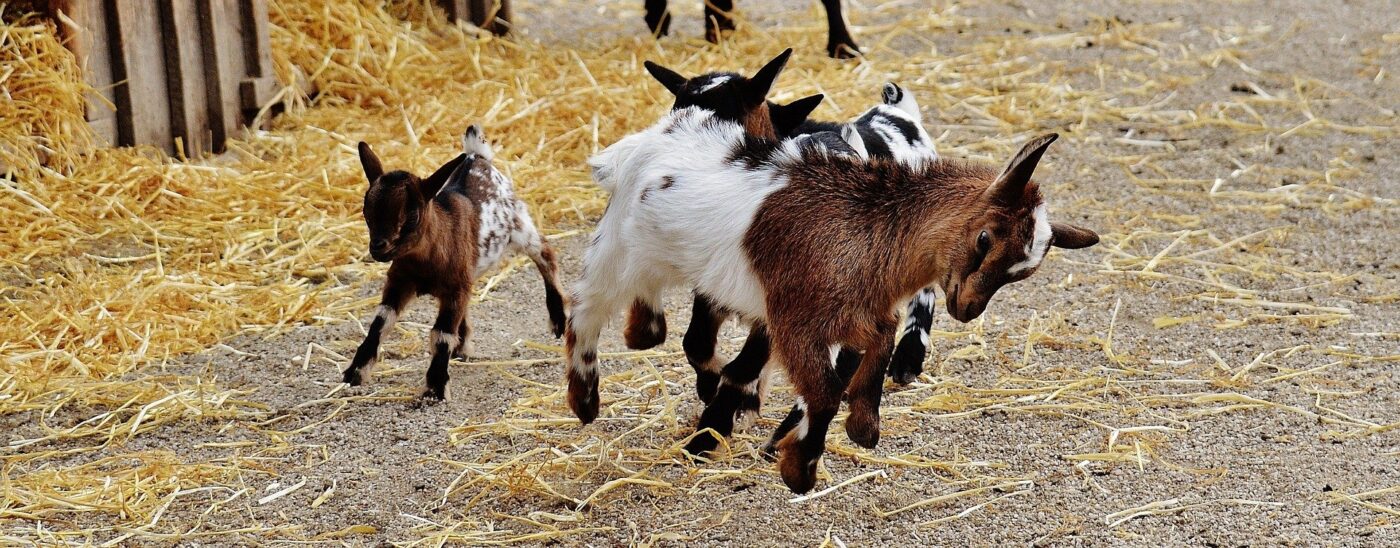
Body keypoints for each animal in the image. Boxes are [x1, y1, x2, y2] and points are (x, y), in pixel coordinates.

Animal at [343, 126, 566, 400]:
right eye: (366, 212)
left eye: (412, 216)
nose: (378, 247)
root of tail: (475, 155)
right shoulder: (400, 281)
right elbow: (380, 323)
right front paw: (355, 373)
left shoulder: (454, 287)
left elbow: (441, 334)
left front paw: (435, 388)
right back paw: (463, 345)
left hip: (520, 226)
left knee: (545, 253)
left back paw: (558, 320)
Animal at [569, 107, 1098, 492]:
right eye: (985, 238)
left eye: (1023, 273)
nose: (967, 309)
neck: (865, 232)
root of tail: (655, 136)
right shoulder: (794, 321)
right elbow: (822, 390)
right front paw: (798, 467)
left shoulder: (857, 315)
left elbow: (878, 344)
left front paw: (861, 424)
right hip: (620, 250)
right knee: (586, 309)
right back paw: (585, 397)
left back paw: (648, 334)